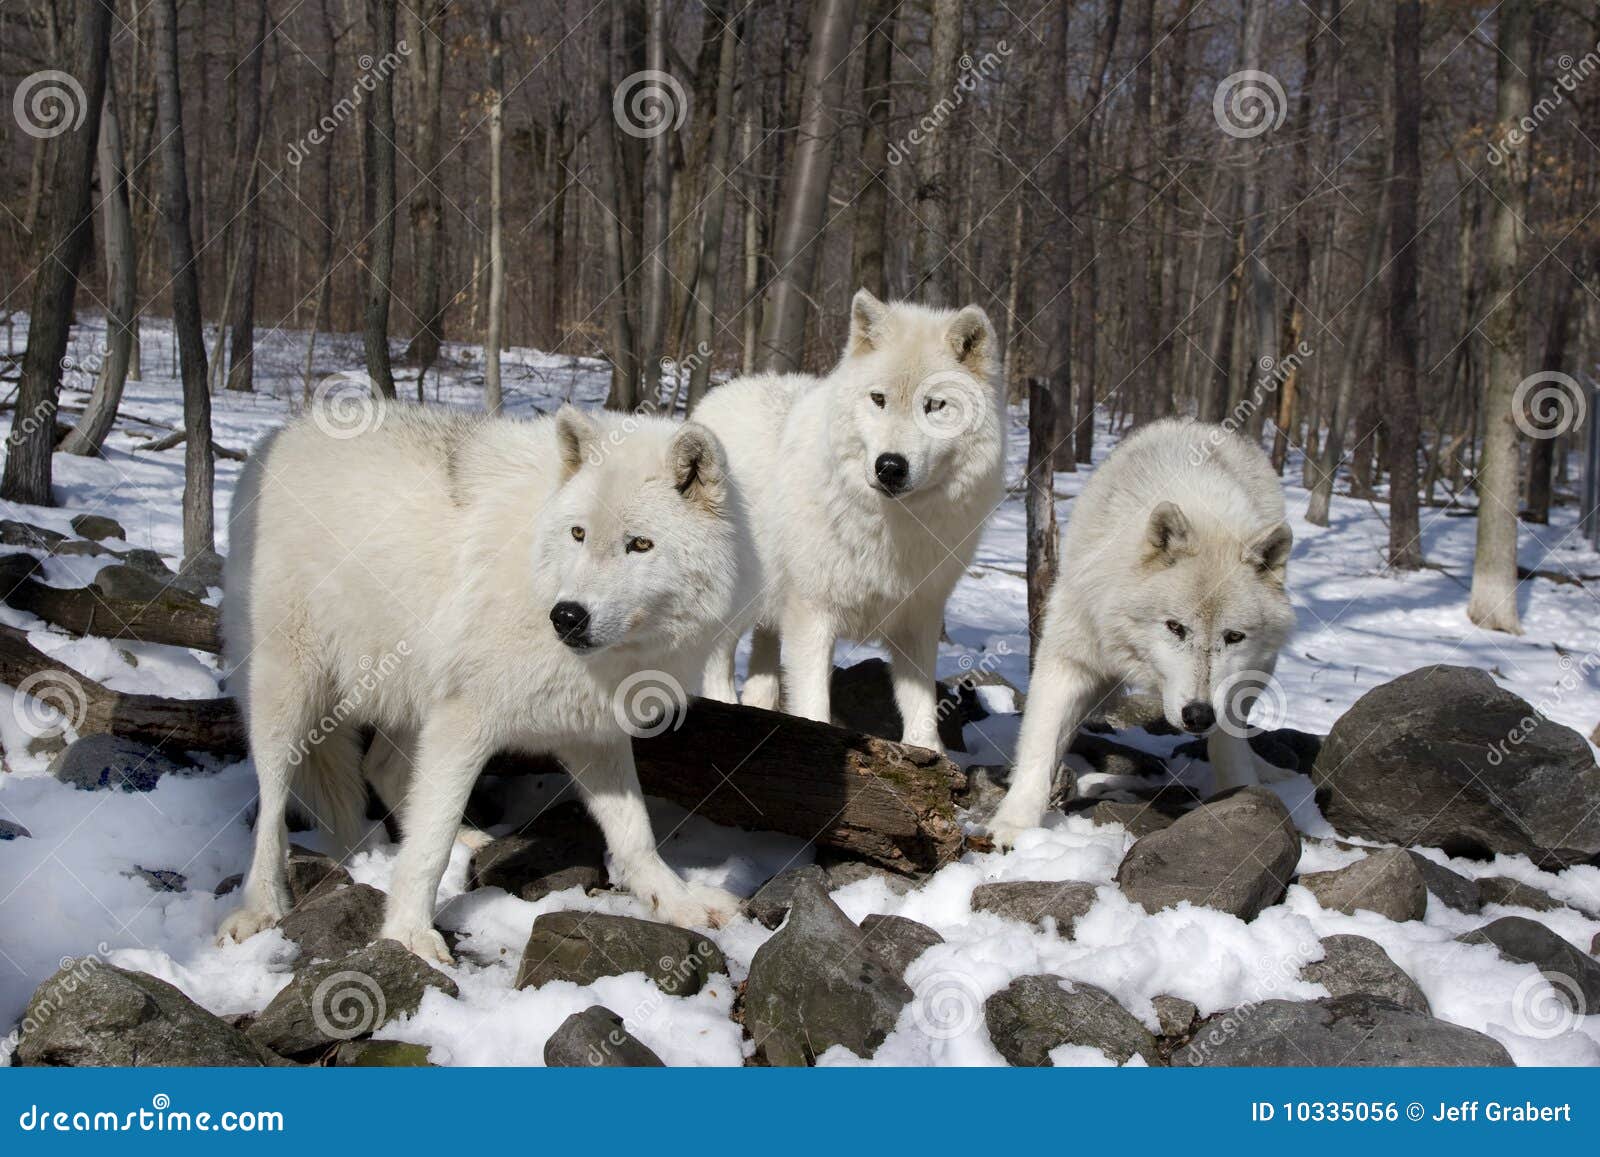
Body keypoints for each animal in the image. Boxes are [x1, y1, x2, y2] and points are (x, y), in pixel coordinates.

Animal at [217, 404, 751, 963]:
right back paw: (260, 907)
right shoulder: (463, 720)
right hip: (287, 695)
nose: (567, 617)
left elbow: (636, 834)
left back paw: (471, 840)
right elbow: (428, 846)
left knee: (381, 769)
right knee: (274, 799)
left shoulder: (592, 732)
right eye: (578, 534)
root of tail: (282, 432)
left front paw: (678, 901)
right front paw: (408, 934)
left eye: (640, 545)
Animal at [690, 289, 1007, 752]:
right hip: (736, 605)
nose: (890, 466)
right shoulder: (813, 613)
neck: (892, 527)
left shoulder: (919, 616)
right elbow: (812, 705)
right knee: (716, 665)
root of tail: (714, 398)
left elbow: (921, 705)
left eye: (934, 406)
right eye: (878, 399)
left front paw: (929, 754)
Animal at [987, 417, 1296, 847]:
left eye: (1233, 637)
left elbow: (1229, 748)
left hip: (1261, 670)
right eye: (1175, 627)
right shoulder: (1069, 658)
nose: (1198, 714)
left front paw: (1243, 799)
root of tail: (1197, 424)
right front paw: (1015, 824)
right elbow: (1040, 744)